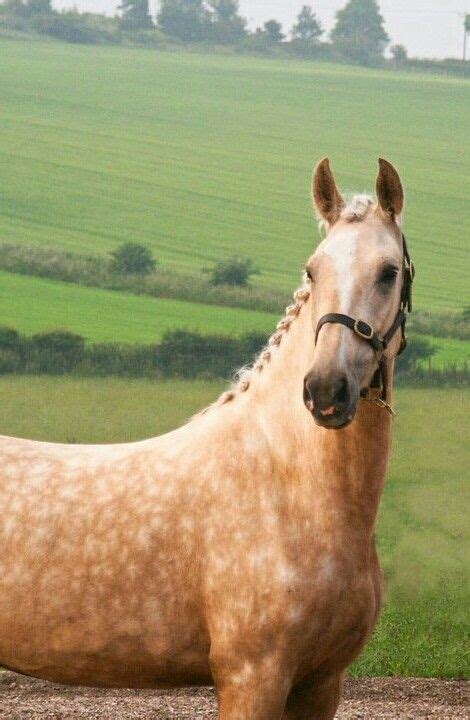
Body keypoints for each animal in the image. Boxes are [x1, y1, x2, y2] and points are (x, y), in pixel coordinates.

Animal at [0, 157, 414, 719]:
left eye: (389, 271)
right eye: (313, 270)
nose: (326, 390)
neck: (291, 485)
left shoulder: (321, 683)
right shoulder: (252, 677)